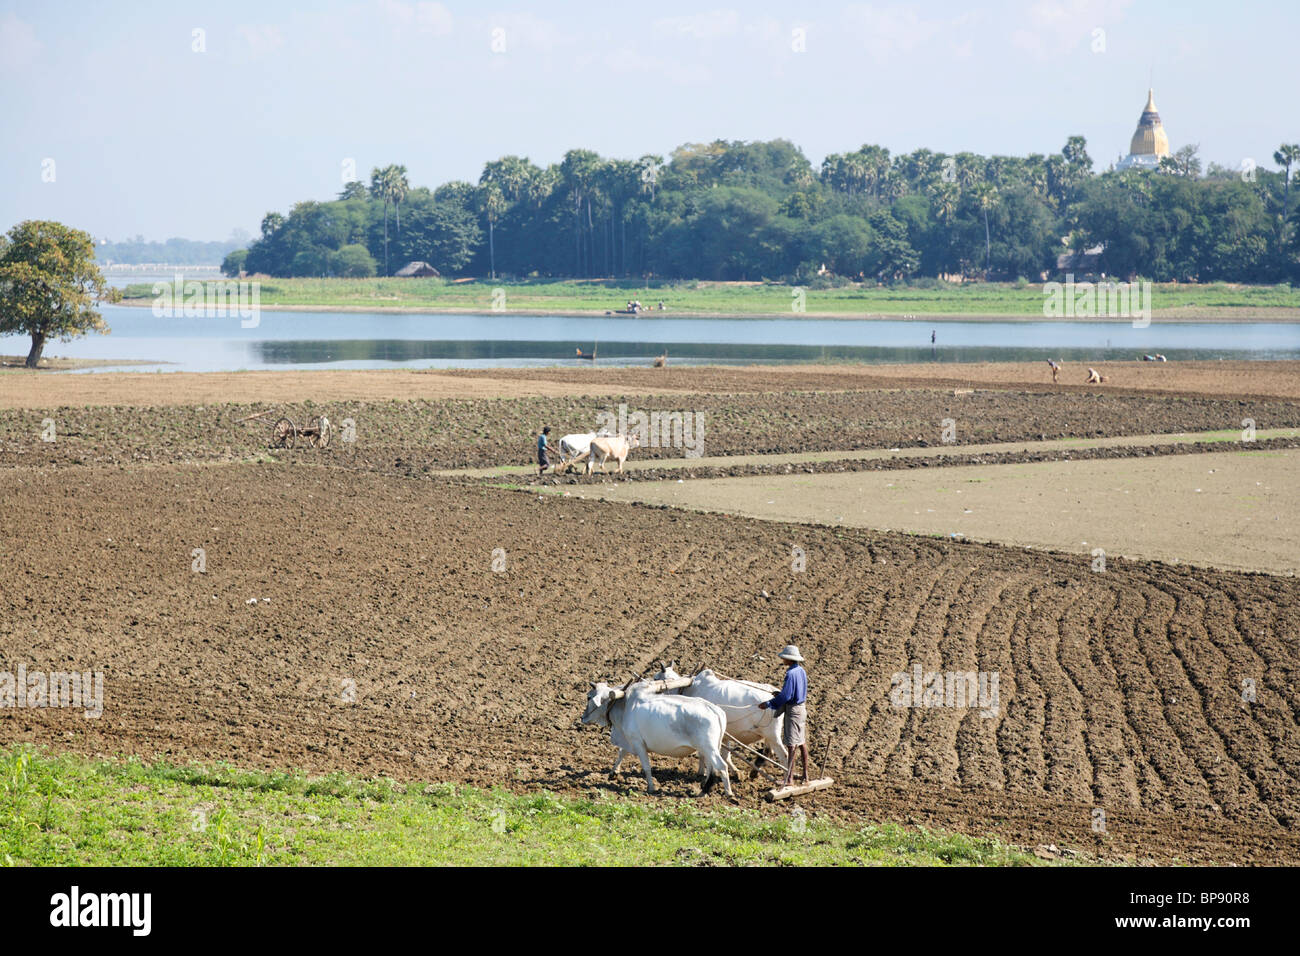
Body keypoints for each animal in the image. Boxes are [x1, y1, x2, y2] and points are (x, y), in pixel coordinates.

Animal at [581, 680, 732, 796]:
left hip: (709, 747)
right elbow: (621, 753)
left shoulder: (637, 742)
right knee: (712, 768)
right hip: (711, 748)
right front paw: (613, 772)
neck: (624, 706)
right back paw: (705, 789)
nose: (582, 718)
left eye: (588, 697)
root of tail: (715, 710)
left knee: (721, 766)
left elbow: (646, 767)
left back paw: (727, 793)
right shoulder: (630, 741)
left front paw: (651, 788)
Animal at [653, 664, 788, 777]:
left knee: (783, 755)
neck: (690, 688)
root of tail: (776, 695)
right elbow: (726, 756)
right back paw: (754, 773)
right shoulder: (725, 736)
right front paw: (736, 772)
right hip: (768, 736)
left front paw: (701, 772)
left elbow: (704, 754)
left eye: (655, 678)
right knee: (768, 752)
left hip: (773, 735)